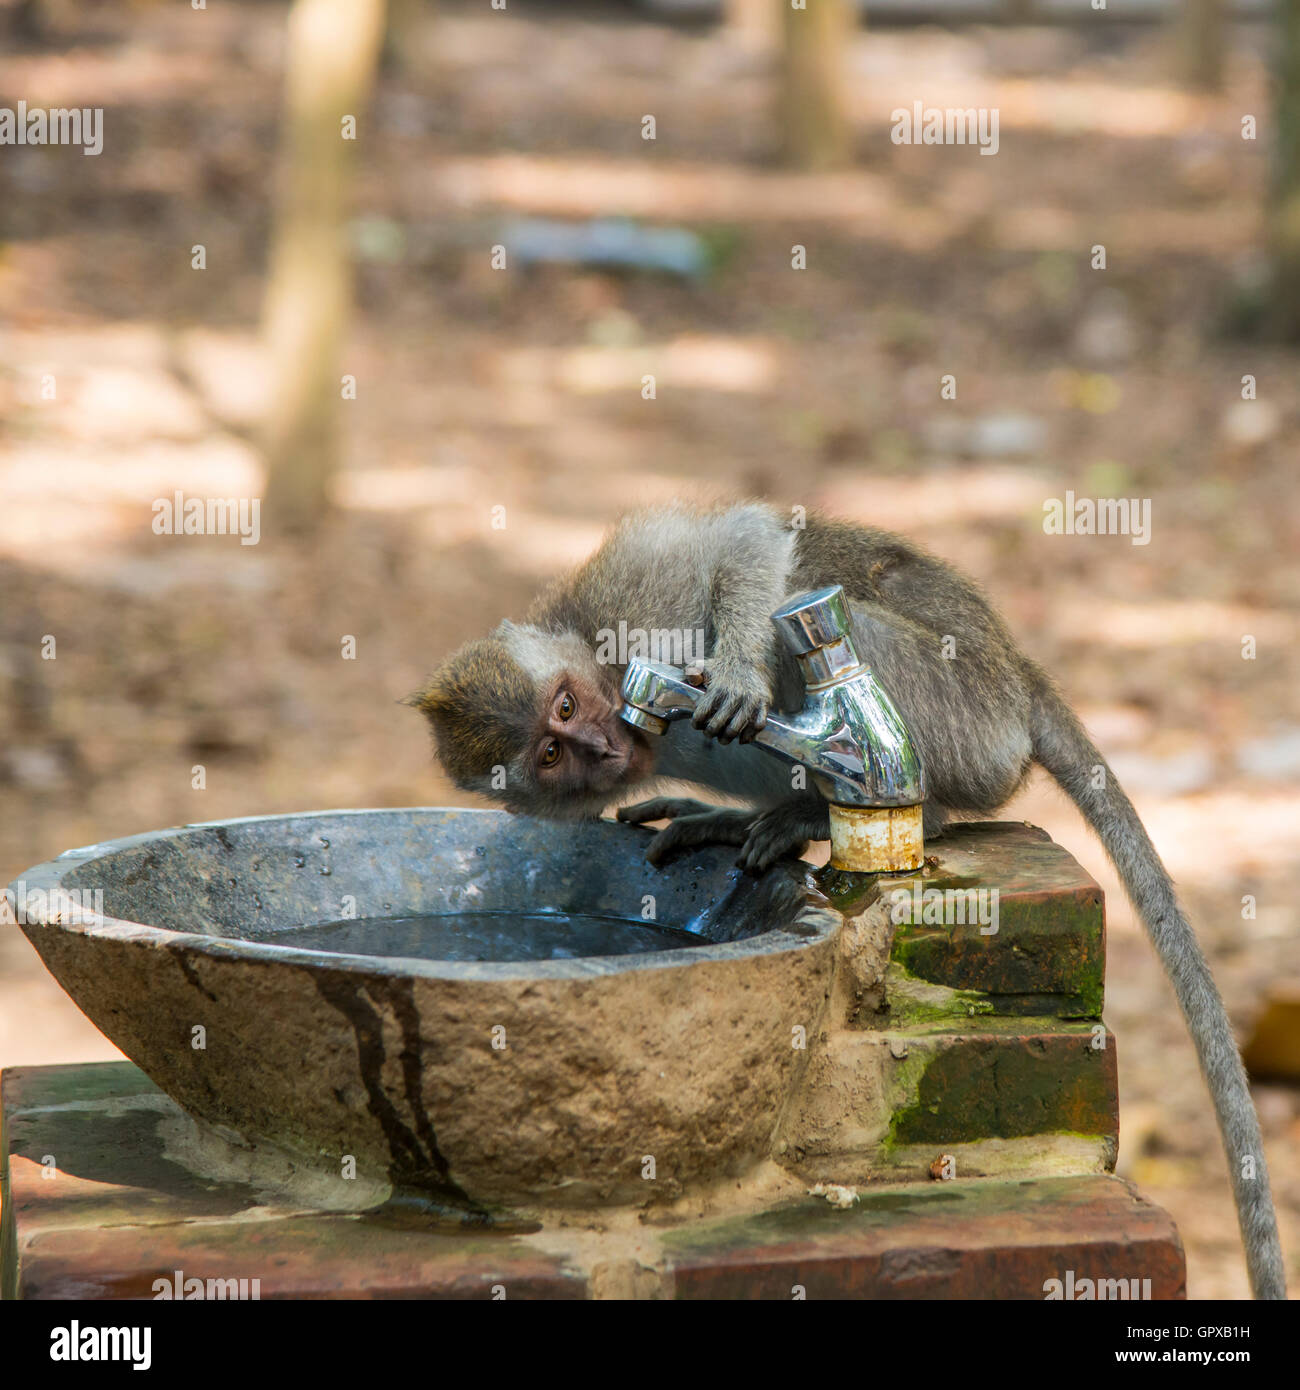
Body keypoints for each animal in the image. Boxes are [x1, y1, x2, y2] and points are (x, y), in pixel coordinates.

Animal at [408, 500, 1286, 1300]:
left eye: (564, 708)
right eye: (550, 754)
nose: (596, 746)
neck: (593, 662)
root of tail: (1017, 681)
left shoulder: (634, 597)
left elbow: (743, 542)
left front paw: (734, 671)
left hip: (962, 713)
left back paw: (890, 808)